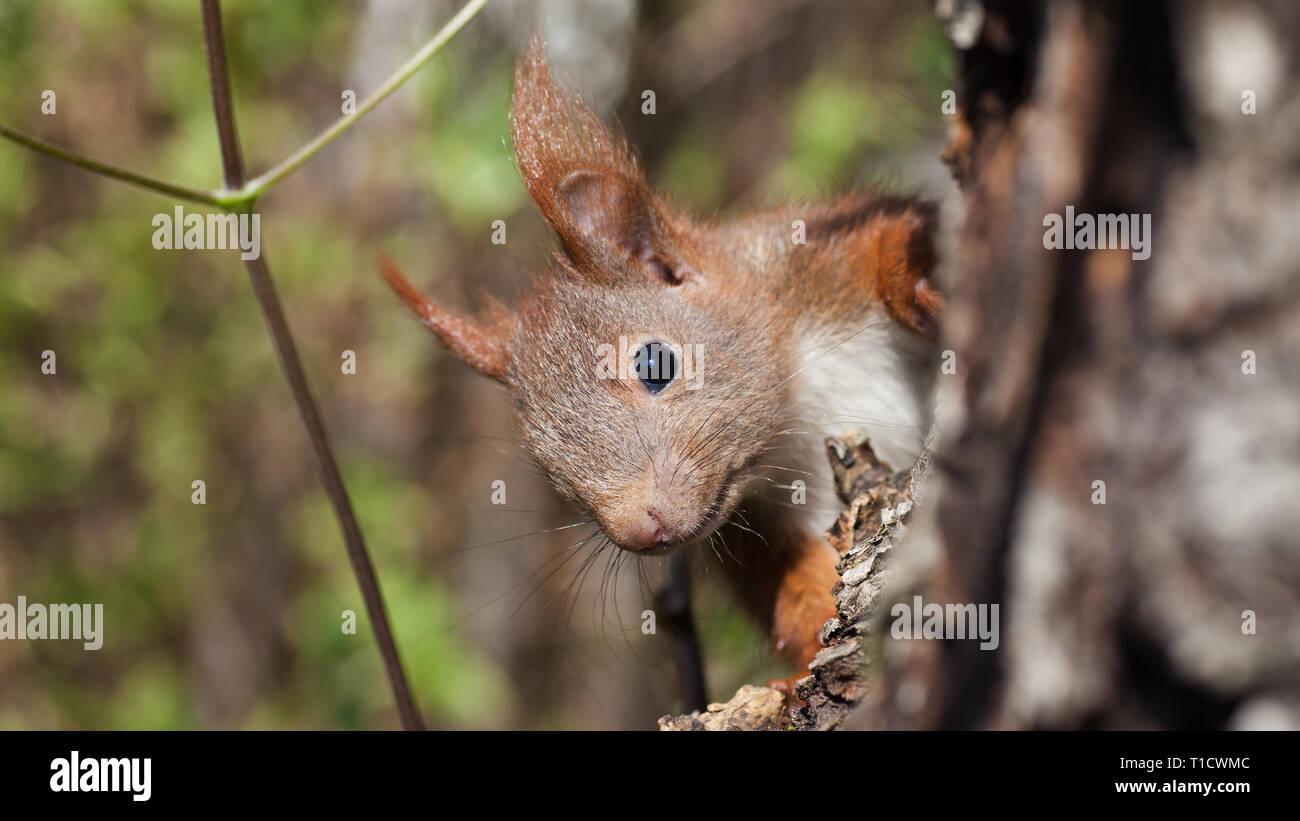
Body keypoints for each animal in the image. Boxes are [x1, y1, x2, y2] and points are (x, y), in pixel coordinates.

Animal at [378, 39, 942, 694]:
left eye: (655, 364)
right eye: (546, 466)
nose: (639, 534)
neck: (801, 404)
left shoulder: (821, 266)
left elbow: (893, 238)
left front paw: (917, 283)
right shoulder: (765, 531)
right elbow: (800, 595)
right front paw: (798, 676)